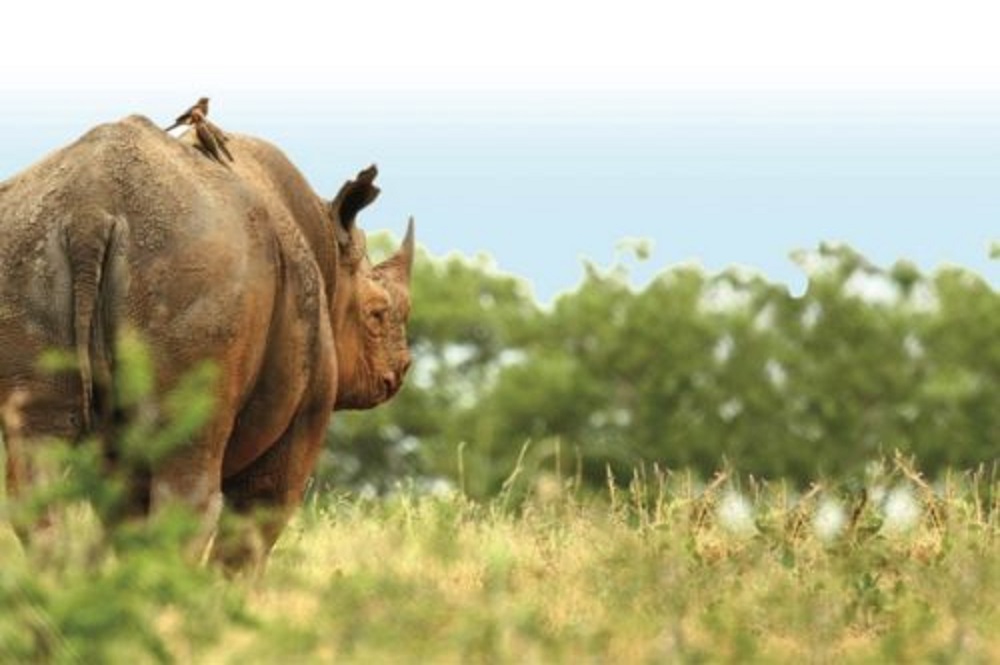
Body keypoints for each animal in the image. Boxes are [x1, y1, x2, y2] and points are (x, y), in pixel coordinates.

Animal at [0, 115, 413, 568]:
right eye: (377, 313)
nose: (402, 368)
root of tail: (89, 211)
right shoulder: (305, 406)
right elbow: (259, 515)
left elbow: (126, 515)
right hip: (200, 261)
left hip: (26, 249)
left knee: (40, 451)